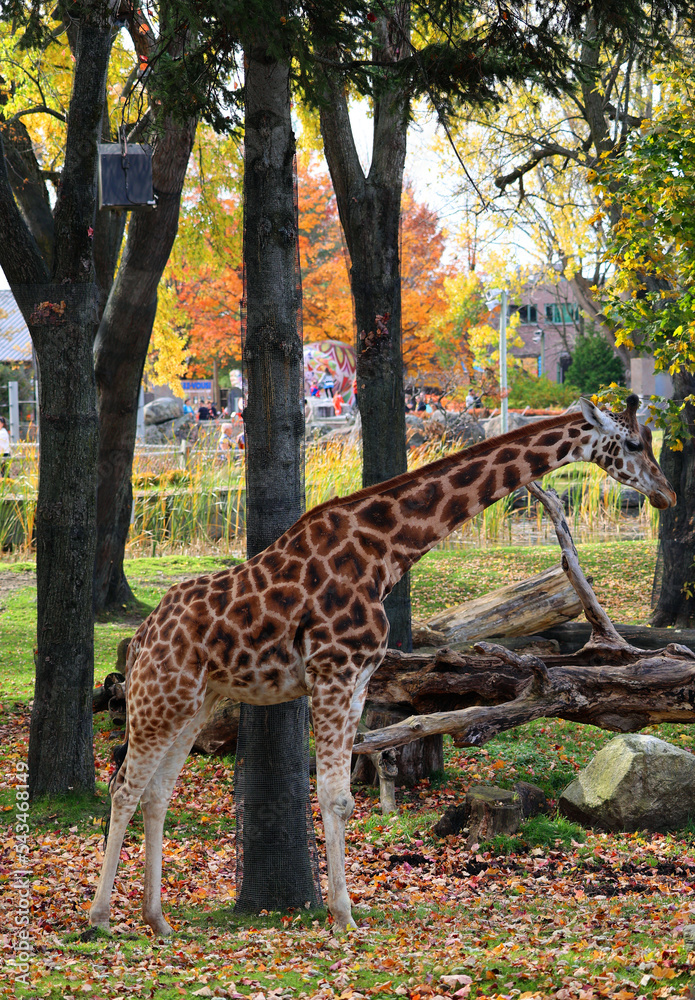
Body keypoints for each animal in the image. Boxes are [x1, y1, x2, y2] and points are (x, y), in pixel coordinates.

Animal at [89, 395, 675, 935]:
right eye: (632, 443)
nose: (666, 494)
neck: (384, 553)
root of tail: (139, 640)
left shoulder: (359, 679)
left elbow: (348, 798)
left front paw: (344, 911)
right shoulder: (332, 672)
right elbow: (331, 794)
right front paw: (343, 918)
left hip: (196, 701)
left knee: (156, 792)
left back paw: (157, 919)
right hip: (161, 698)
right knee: (124, 787)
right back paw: (101, 918)